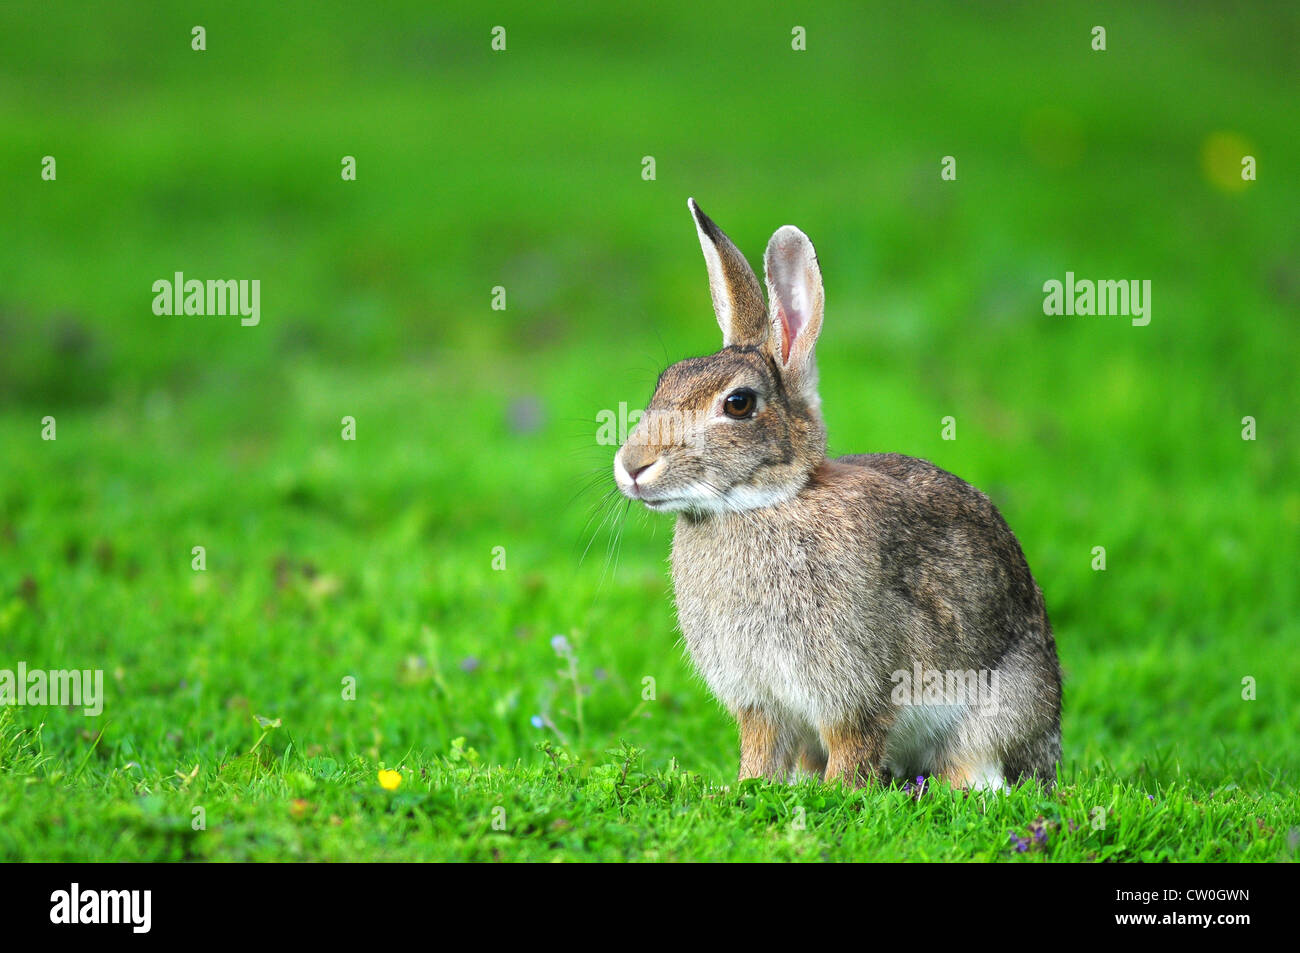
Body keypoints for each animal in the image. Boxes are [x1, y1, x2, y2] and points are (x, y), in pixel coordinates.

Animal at [612, 198, 1062, 790]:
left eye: (738, 404)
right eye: (664, 381)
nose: (631, 467)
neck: (764, 504)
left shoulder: (854, 689)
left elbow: (854, 744)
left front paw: (839, 793)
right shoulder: (760, 701)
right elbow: (761, 748)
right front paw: (747, 787)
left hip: (999, 711)